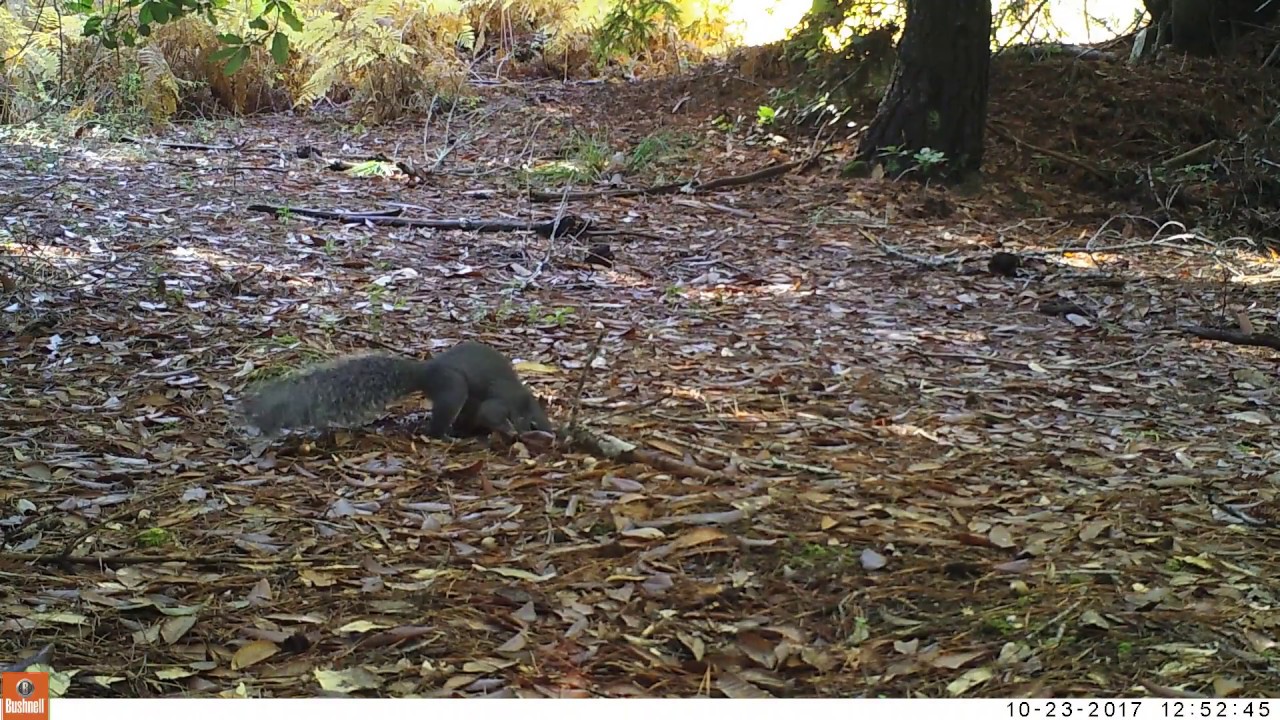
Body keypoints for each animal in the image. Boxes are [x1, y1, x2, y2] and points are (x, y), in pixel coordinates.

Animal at [239, 340, 553, 440]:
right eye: (534, 424)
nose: (552, 438)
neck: (520, 399)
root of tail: (426, 372)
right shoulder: (499, 403)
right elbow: (493, 415)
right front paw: (510, 431)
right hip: (454, 389)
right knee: (438, 426)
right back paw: (447, 436)